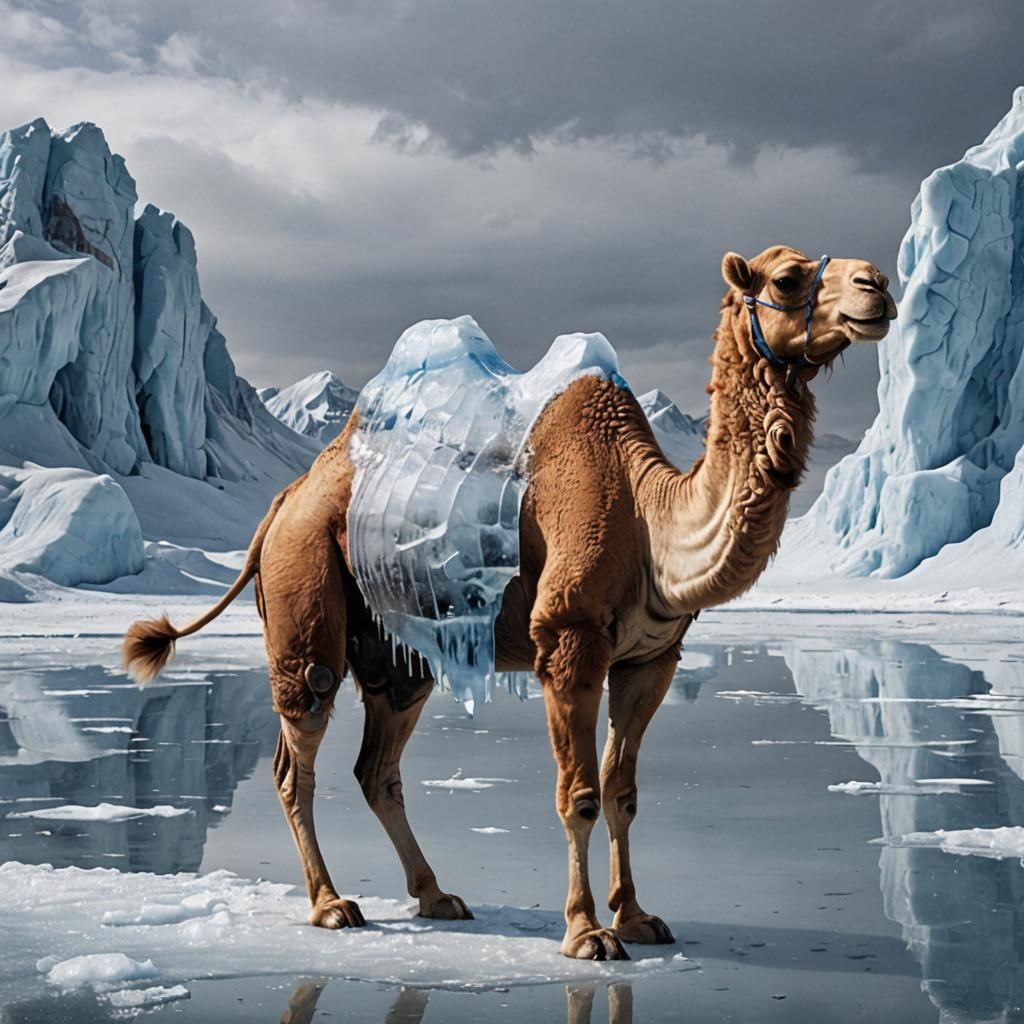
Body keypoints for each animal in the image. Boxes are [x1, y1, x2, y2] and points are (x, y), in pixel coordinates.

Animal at [124, 245, 895, 960]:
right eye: (787, 278)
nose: (878, 285)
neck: (651, 519)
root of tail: (283, 501)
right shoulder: (568, 639)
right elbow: (578, 795)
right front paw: (586, 933)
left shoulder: (651, 658)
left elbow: (622, 792)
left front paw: (637, 918)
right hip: (302, 589)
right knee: (298, 746)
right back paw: (330, 904)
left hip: (400, 655)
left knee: (379, 763)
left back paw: (436, 895)